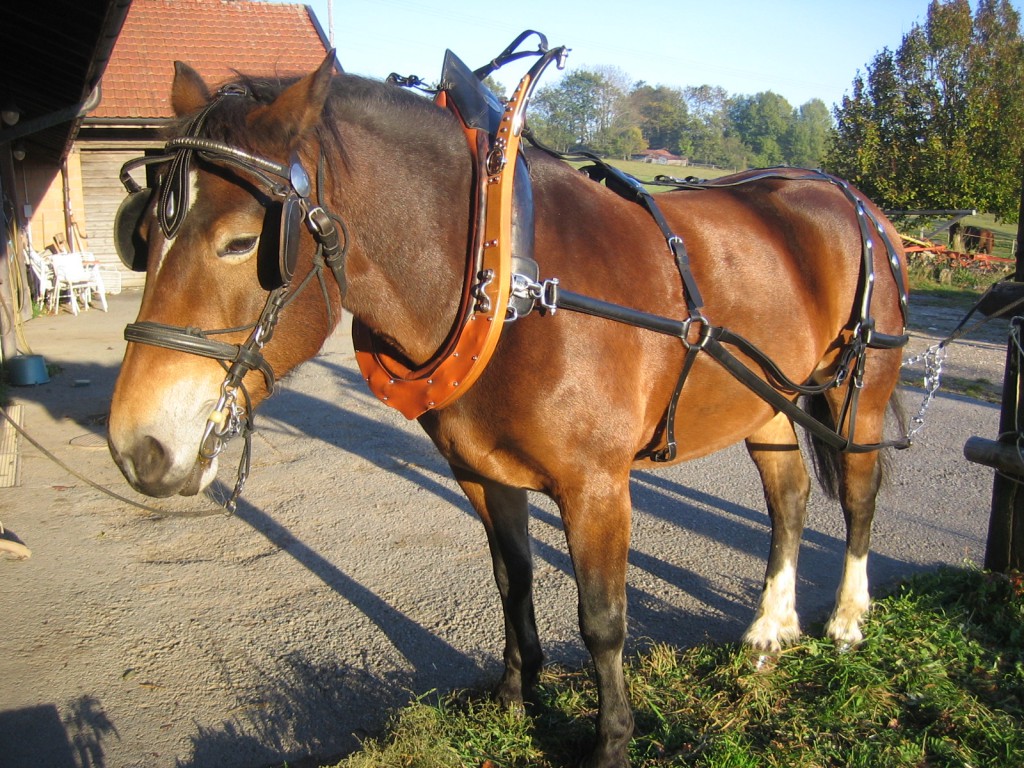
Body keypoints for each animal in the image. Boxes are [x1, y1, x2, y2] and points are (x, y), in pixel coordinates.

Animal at [107, 52, 909, 768]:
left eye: (243, 242)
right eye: (142, 235)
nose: (137, 446)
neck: (505, 278)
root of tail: (852, 198)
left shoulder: (596, 485)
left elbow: (602, 619)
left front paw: (611, 742)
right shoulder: (482, 473)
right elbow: (512, 581)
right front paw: (516, 697)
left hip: (858, 393)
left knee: (860, 498)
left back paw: (846, 620)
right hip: (768, 404)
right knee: (789, 499)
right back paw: (772, 628)